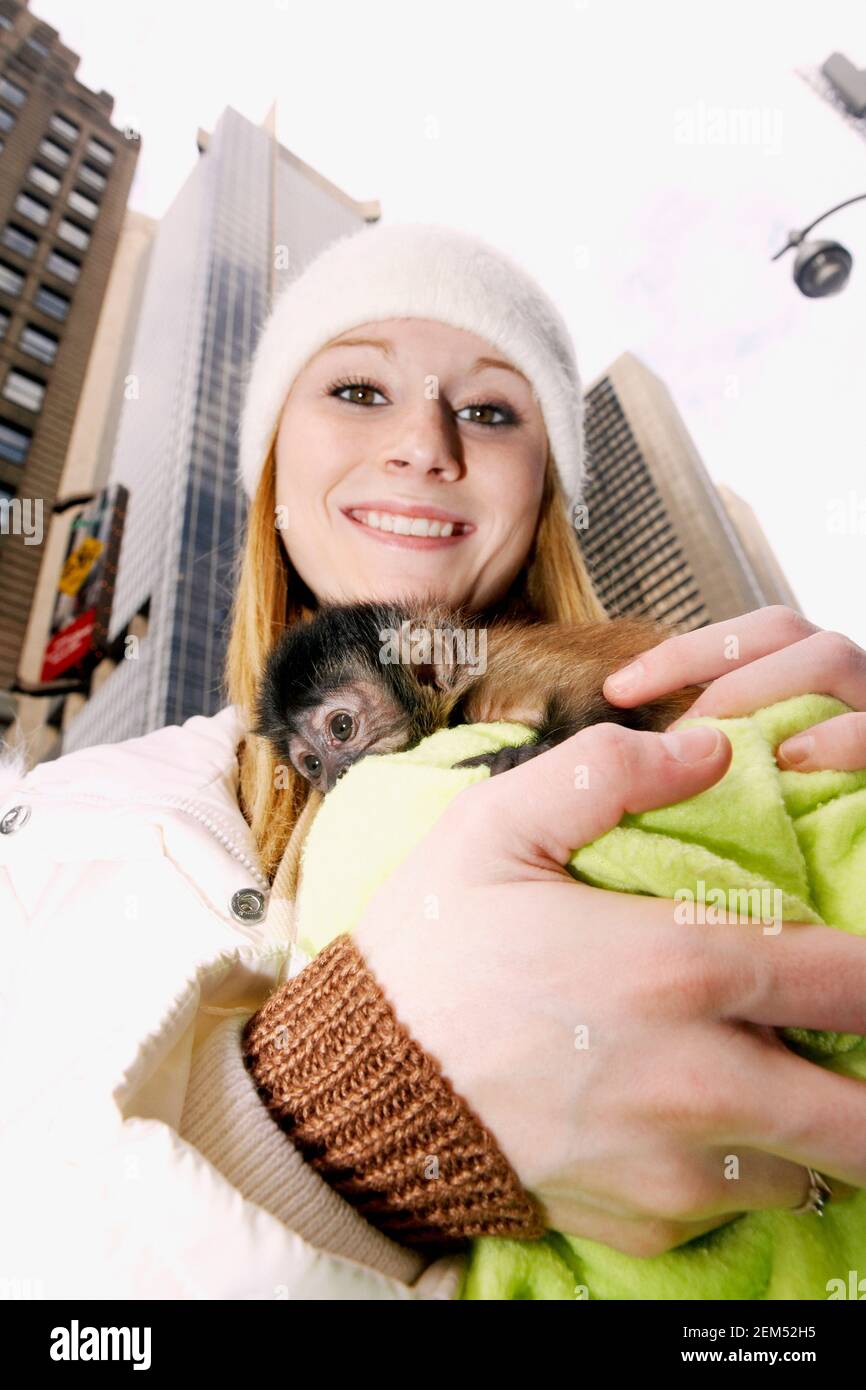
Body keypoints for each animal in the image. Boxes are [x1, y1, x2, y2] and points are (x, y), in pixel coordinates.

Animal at [251, 598, 706, 794]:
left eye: (342, 727)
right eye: (312, 765)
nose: (333, 779)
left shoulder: (500, 673)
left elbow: (595, 688)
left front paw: (522, 755)